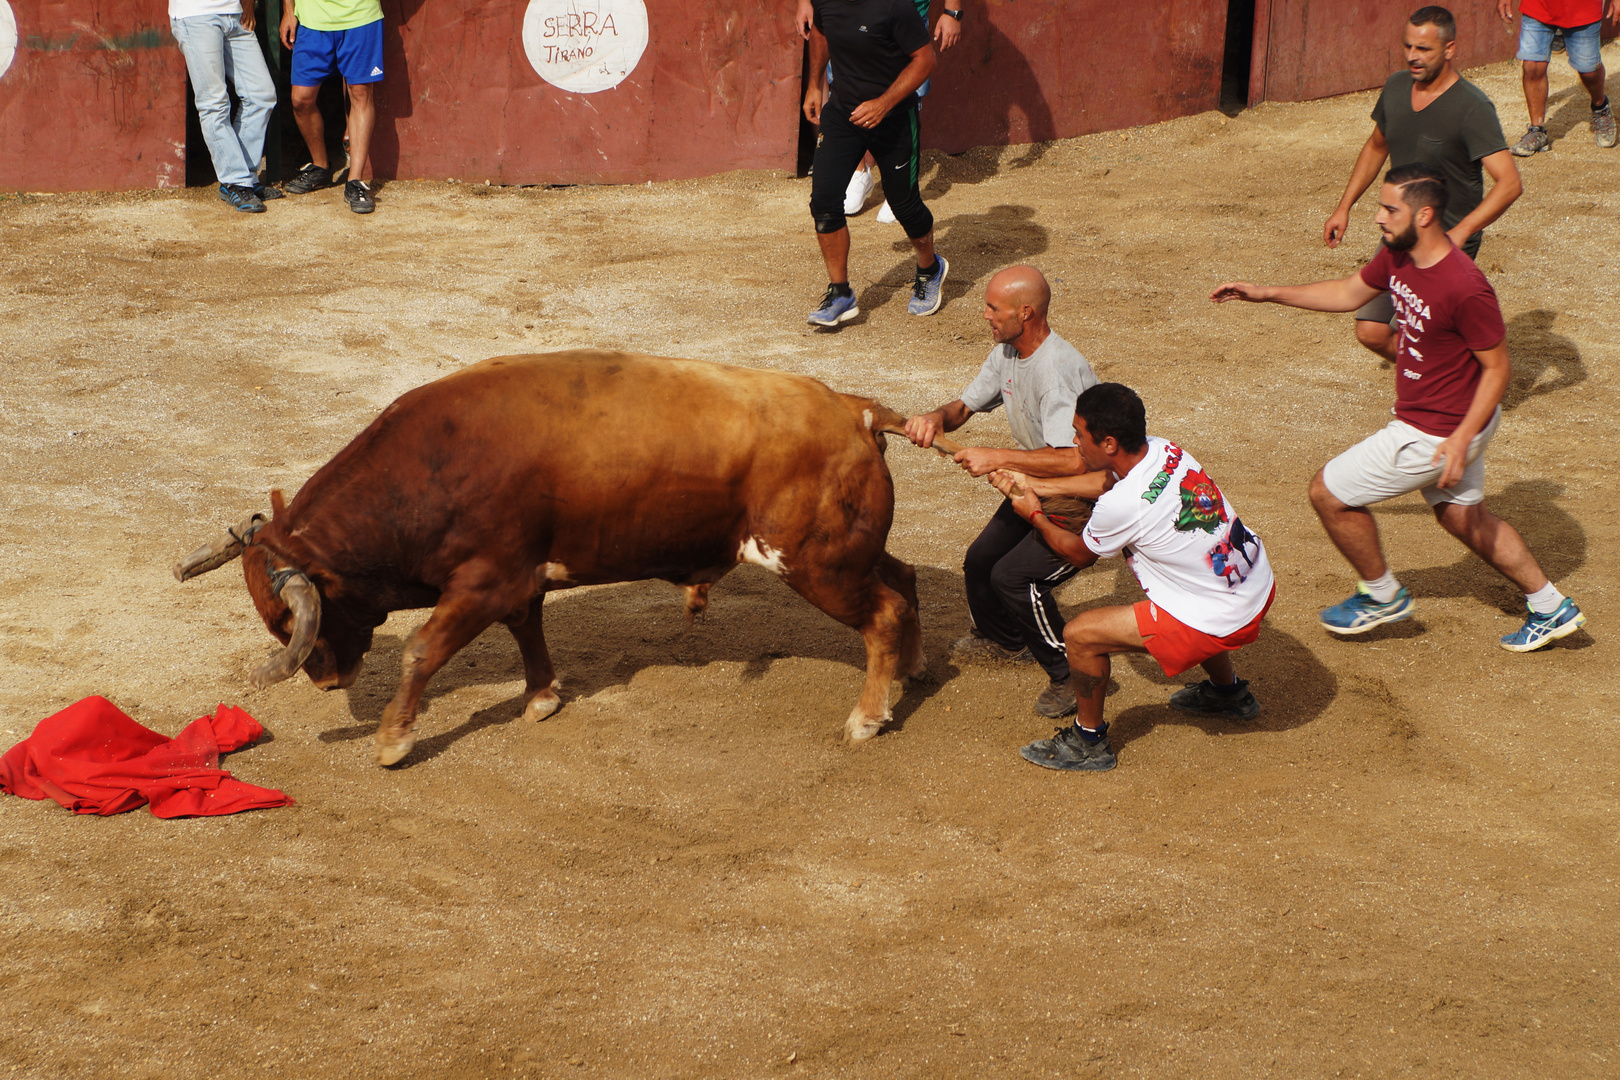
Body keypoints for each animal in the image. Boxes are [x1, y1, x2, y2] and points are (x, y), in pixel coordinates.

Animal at [175, 351, 926, 764]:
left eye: (285, 622)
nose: (326, 683)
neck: (431, 466)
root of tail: (853, 409)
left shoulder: (481, 582)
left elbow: (422, 649)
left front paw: (393, 740)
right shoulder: (517, 580)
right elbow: (528, 632)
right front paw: (541, 697)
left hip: (817, 565)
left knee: (883, 612)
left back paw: (867, 717)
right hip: (848, 555)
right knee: (906, 579)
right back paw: (908, 677)